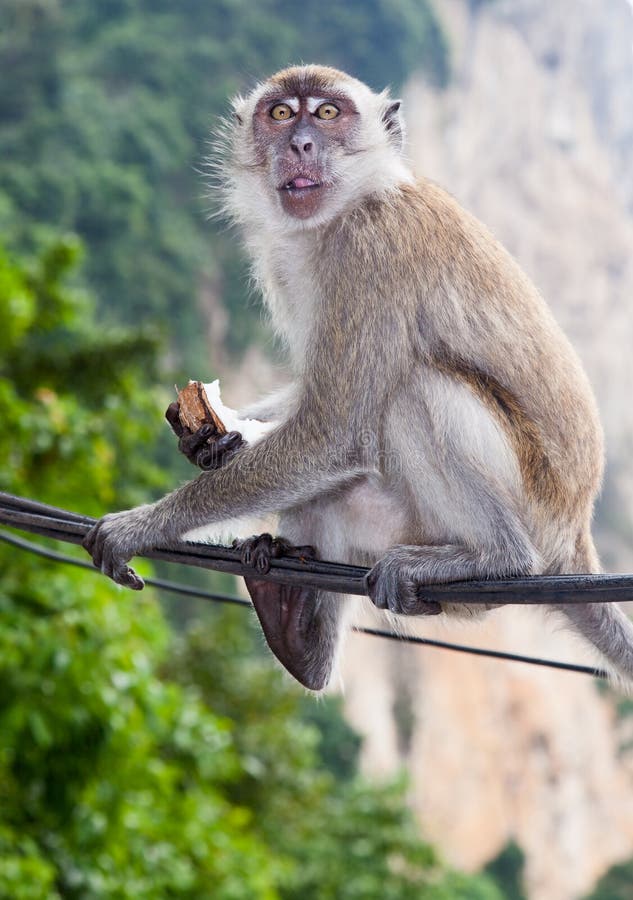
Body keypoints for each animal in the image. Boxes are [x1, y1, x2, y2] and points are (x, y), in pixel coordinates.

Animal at [83, 64, 633, 692]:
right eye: (280, 114)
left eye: (327, 113)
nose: (300, 144)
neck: (348, 207)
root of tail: (574, 536)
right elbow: (315, 403)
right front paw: (220, 438)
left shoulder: (372, 251)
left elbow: (335, 428)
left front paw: (142, 526)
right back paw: (296, 630)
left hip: (528, 511)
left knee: (413, 393)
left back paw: (497, 559)